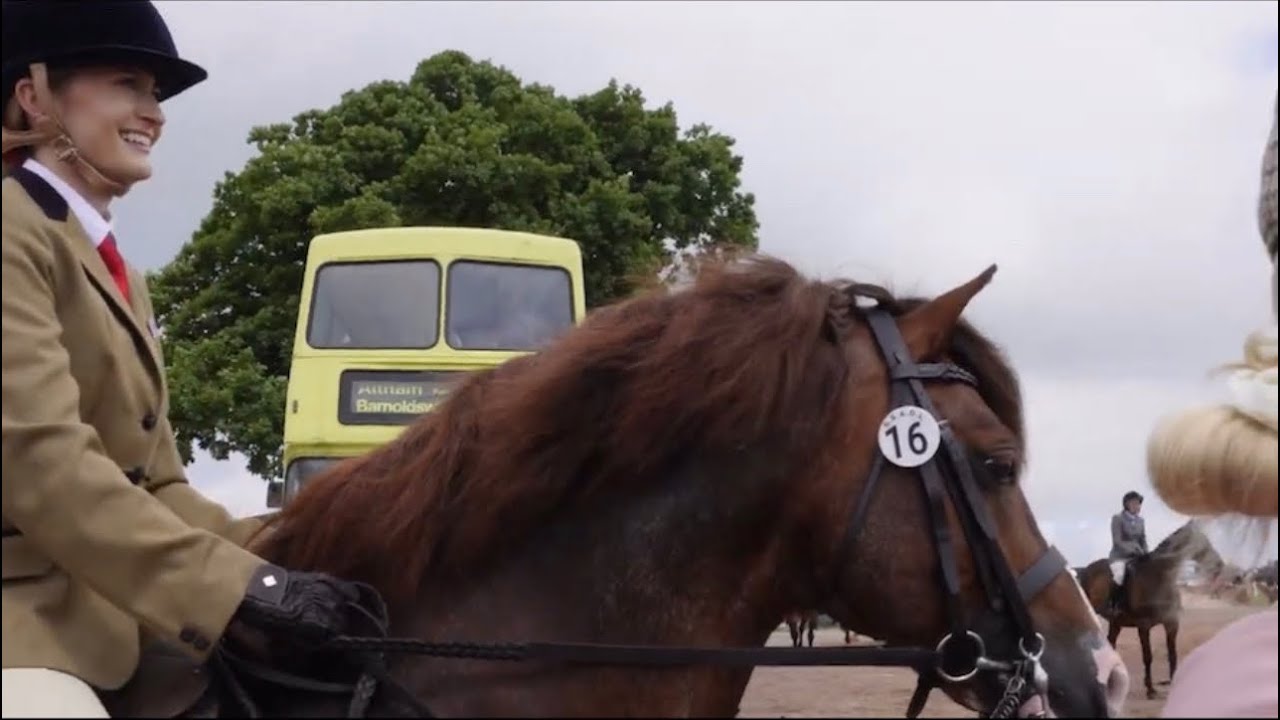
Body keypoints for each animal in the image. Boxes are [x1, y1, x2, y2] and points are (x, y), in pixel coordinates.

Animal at [1075, 521, 1223, 700]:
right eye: (1203, 543)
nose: (1220, 565)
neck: (1159, 579)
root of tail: (1084, 570)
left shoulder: (1172, 623)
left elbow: (1172, 654)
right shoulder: (1144, 626)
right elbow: (1148, 656)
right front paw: (1150, 689)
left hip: (1116, 622)